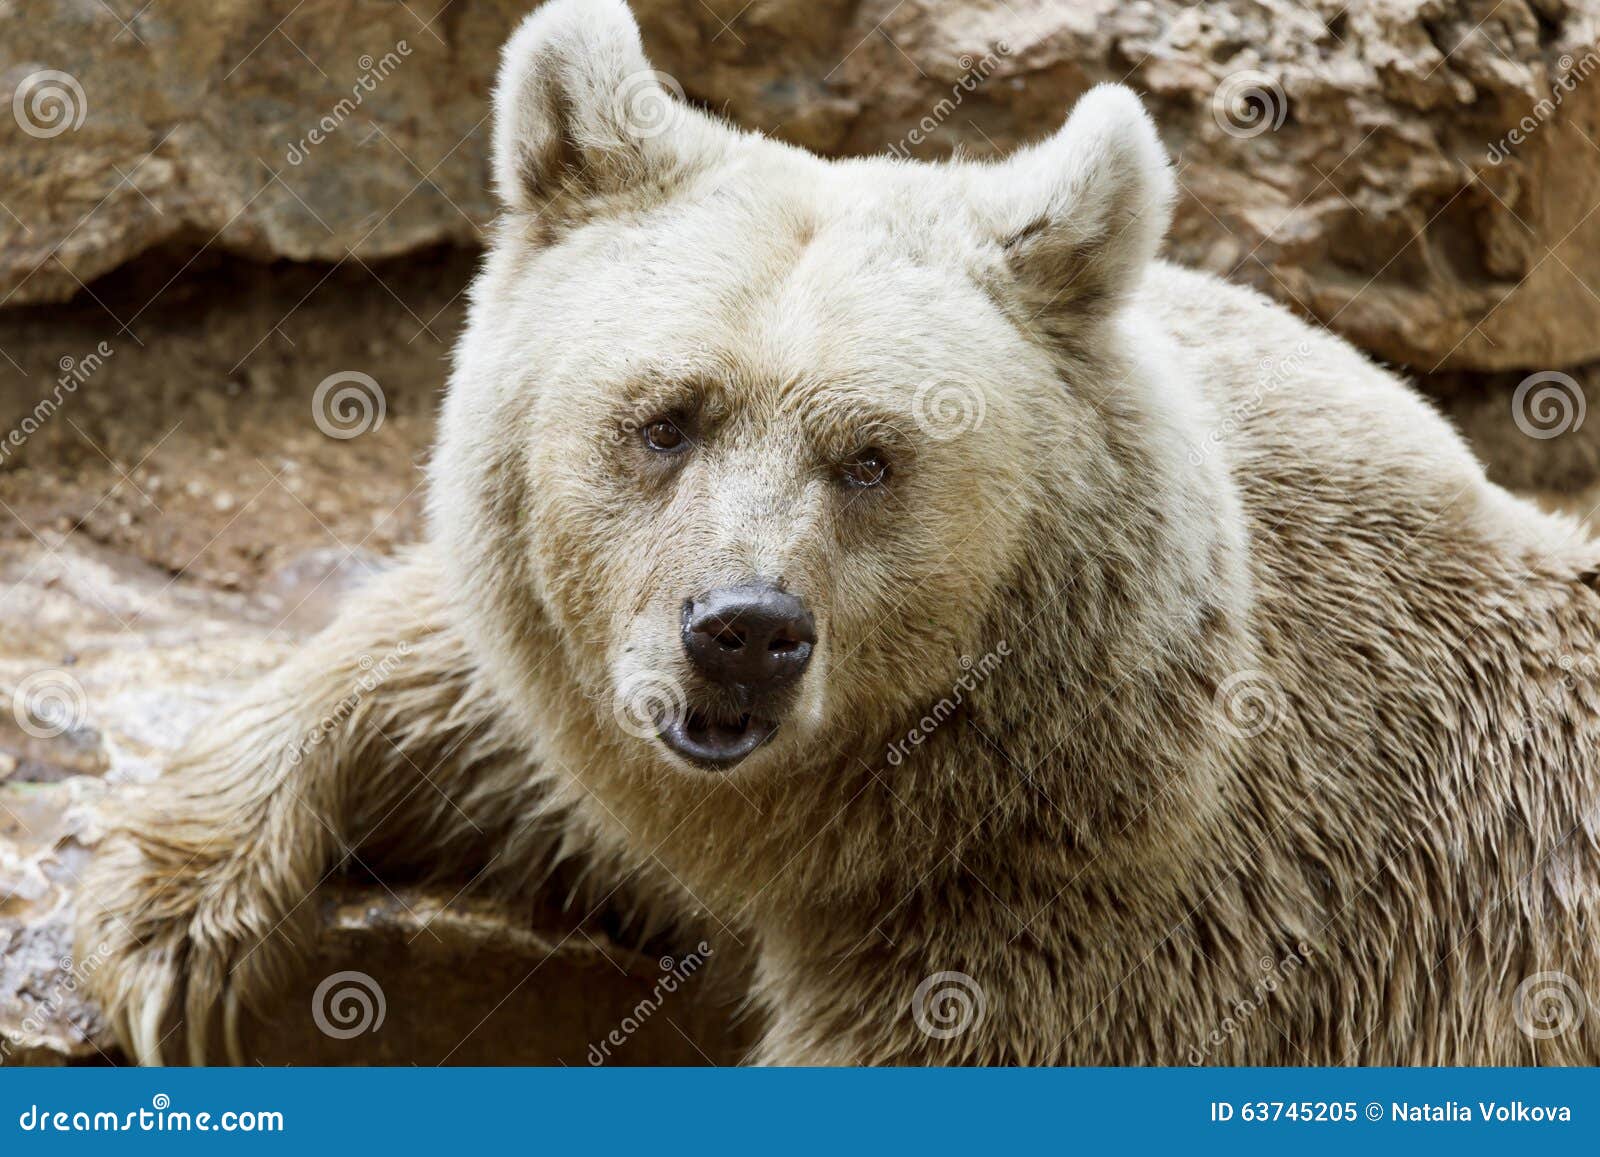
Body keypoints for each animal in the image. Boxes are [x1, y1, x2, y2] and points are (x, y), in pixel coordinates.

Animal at [76, 0, 1600, 1066]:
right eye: (667, 417)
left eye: (872, 456)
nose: (743, 634)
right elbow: (496, 717)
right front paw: (175, 925)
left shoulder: (1113, 944)